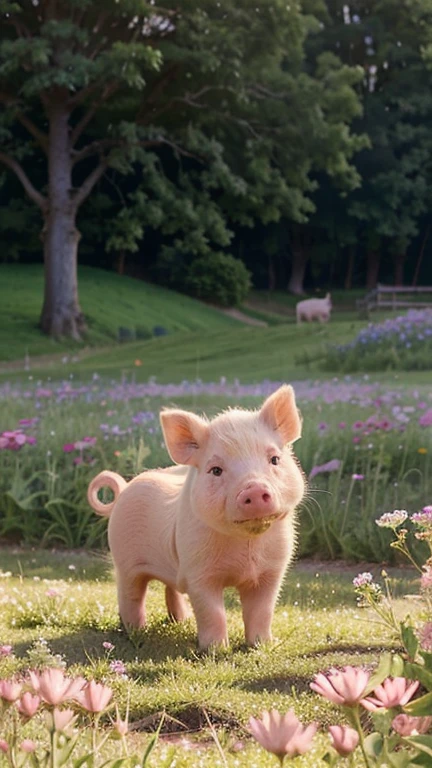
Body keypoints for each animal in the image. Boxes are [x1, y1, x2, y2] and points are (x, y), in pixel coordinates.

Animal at [87, 385, 305, 649]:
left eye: (274, 459)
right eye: (216, 470)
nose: (253, 488)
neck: (246, 543)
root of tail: (123, 487)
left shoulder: (271, 572)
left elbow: (262, 611)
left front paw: (262, 645)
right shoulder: (198, 573)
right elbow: (212, 612)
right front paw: (215, 649)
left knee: (170, 588)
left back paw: (181, 620)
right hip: (124, 560)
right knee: (131, 594)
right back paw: (136, 632)